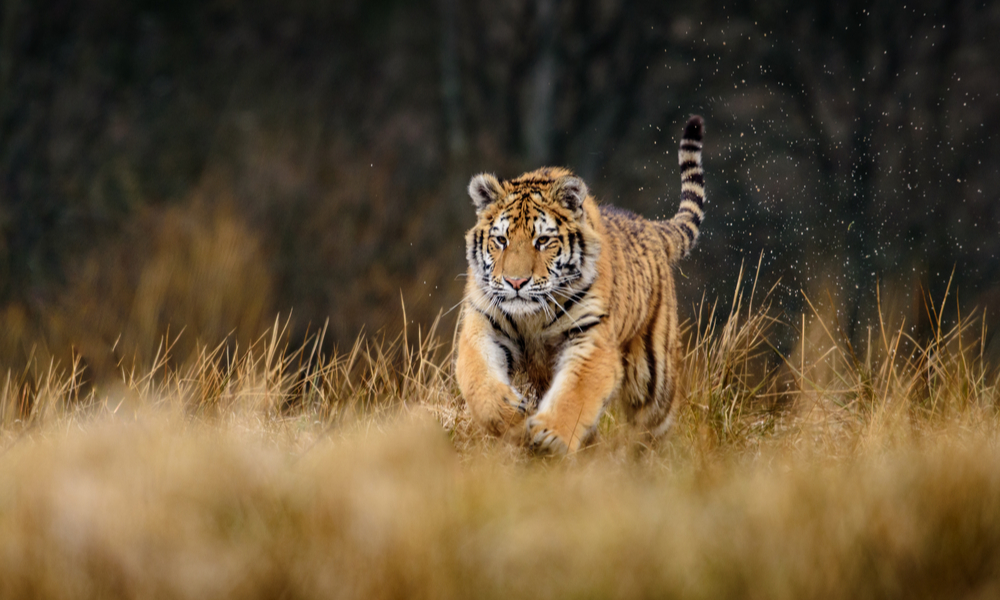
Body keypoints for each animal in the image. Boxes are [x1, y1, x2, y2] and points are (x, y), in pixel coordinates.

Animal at [456, 115, 706, 455]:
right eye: (501, 240)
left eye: (542, 241)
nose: (516, 282)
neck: (532, 315)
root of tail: (650, 226)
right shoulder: (484, 324)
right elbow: (478, 376)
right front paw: (508, 416)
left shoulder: (590, 337)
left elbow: (576, 392)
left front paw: (550, 435)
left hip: (653, 377)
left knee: (654, 425)